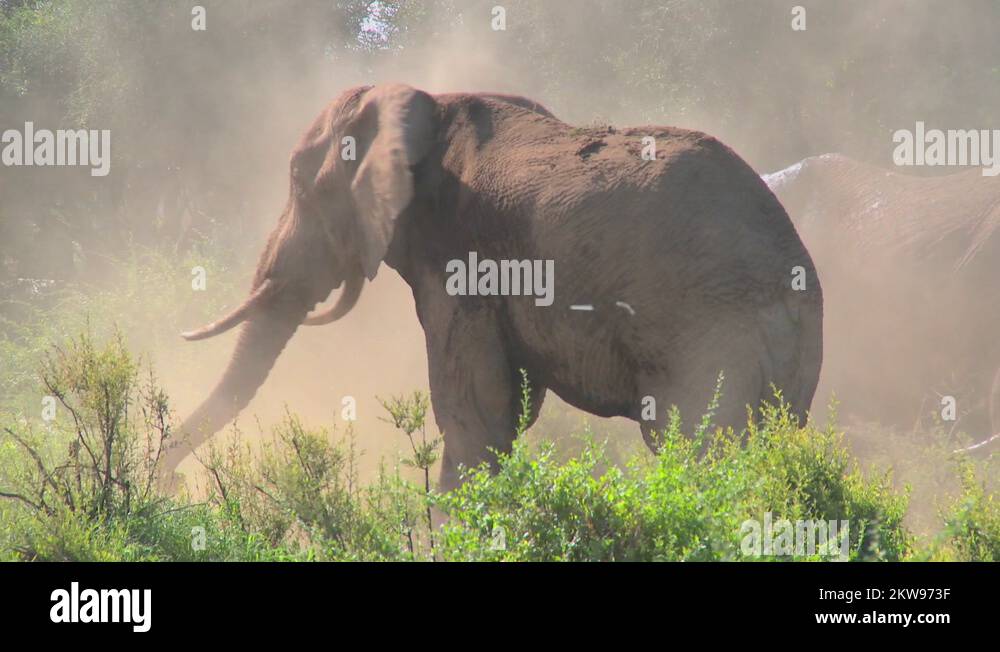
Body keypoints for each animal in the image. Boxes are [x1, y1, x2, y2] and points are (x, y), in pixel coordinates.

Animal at [166, 83, 824, 489]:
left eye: (301, 184)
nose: (167, 478)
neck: (426, 106)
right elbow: (505, 411)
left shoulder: (464, 265)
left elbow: (472, 414)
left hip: (710, 336)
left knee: (697, 450)